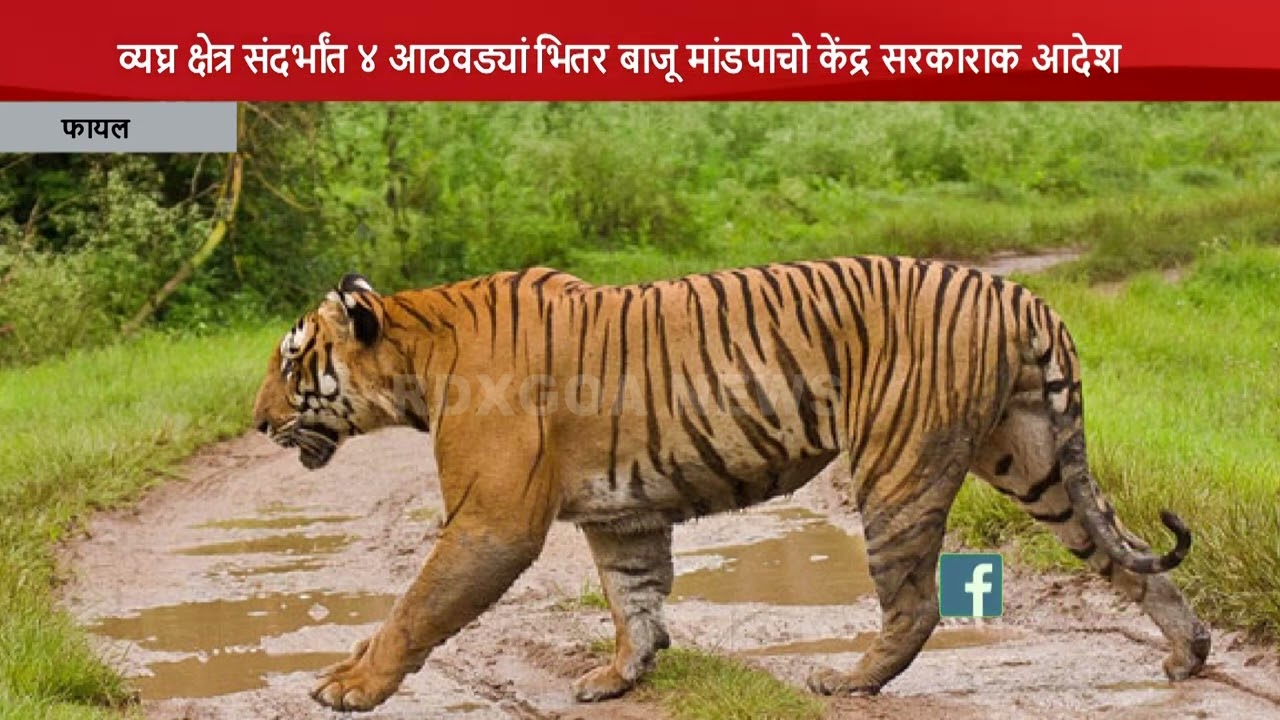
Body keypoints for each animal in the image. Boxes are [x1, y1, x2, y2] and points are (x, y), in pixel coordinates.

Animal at [251, 256, 1210, 712]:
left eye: (292, 364)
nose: (256, 422)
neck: (418, 354)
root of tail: (1018, 294)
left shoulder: (491, 519)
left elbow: (414, 609)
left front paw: (348, 687)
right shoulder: (622, 515)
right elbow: (634, 597)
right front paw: (622, 676)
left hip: (898, 467)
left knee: (914, 603)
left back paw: (849, 681)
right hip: (1033, 458)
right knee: (1128, 554)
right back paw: (1188, 651)